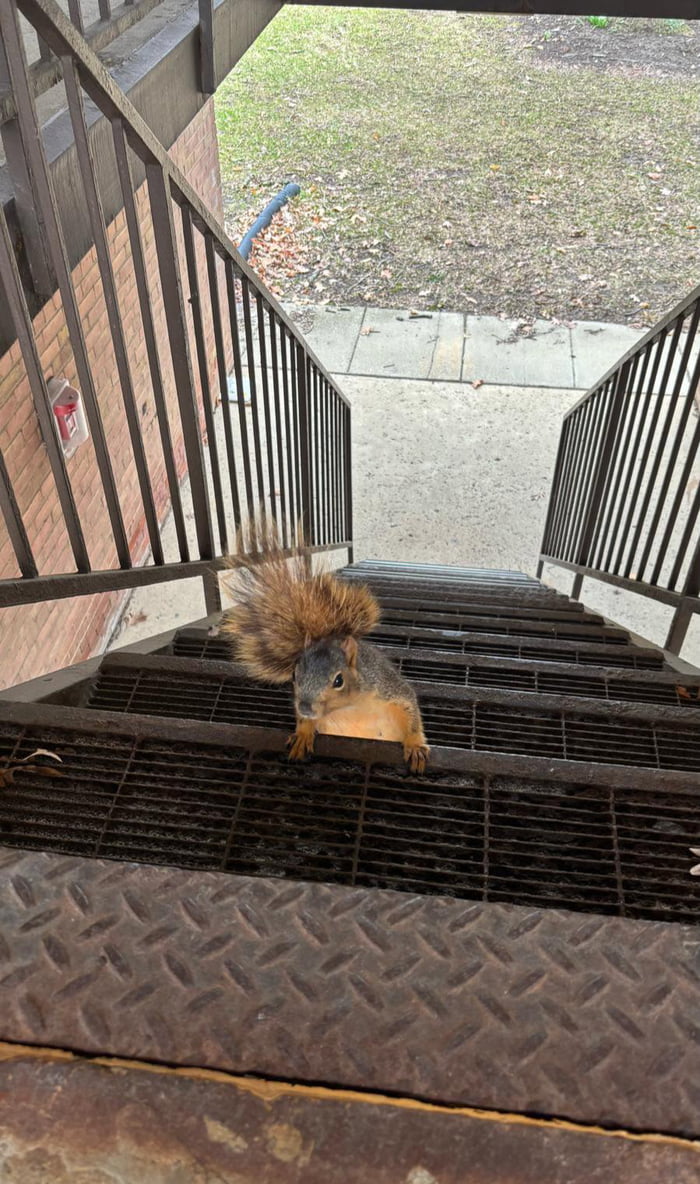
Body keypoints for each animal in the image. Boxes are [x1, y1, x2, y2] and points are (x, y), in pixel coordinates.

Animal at [221, 525, 430, 773]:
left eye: (339, 681)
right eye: (294, 675)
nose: (305, 707)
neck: (350, 707)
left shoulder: (387, 688)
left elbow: (411, 711)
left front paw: (415, 745)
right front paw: (303, 733)